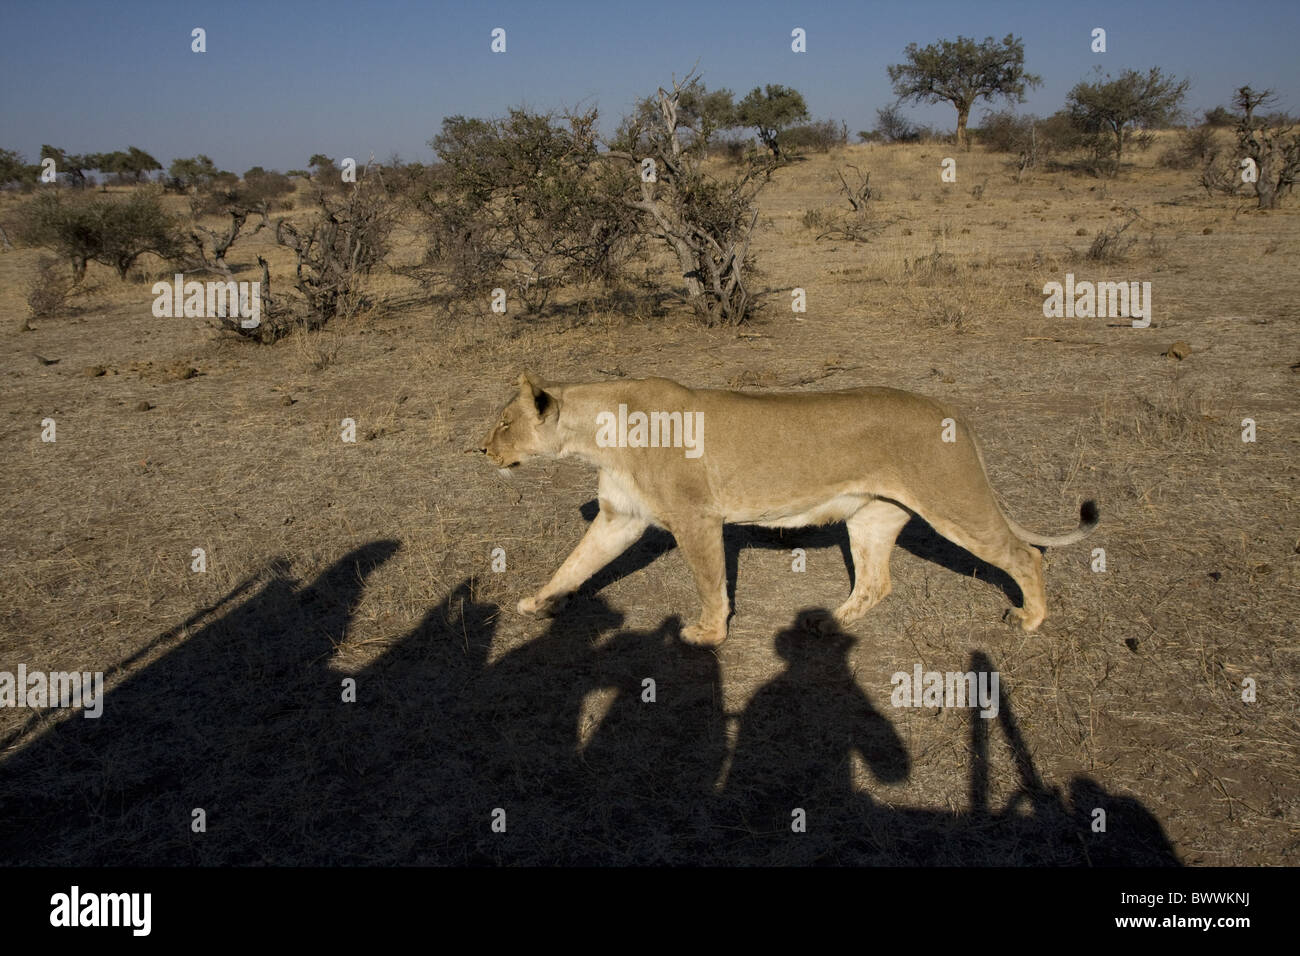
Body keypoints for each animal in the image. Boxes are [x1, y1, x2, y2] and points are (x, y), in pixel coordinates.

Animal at [479, 372, 1099, 646]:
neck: (599, 433)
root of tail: (955, 413)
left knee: (1026, 555)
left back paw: (1030, 618)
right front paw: (538, 602)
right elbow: (574, 564)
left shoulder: (696, 517)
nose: (482, 450)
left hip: (955, 502)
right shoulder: (619, 518)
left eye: (505, 423)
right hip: (871, 516)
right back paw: (828, 622)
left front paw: (708, 634)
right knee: (875, 582)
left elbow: (709, 581)